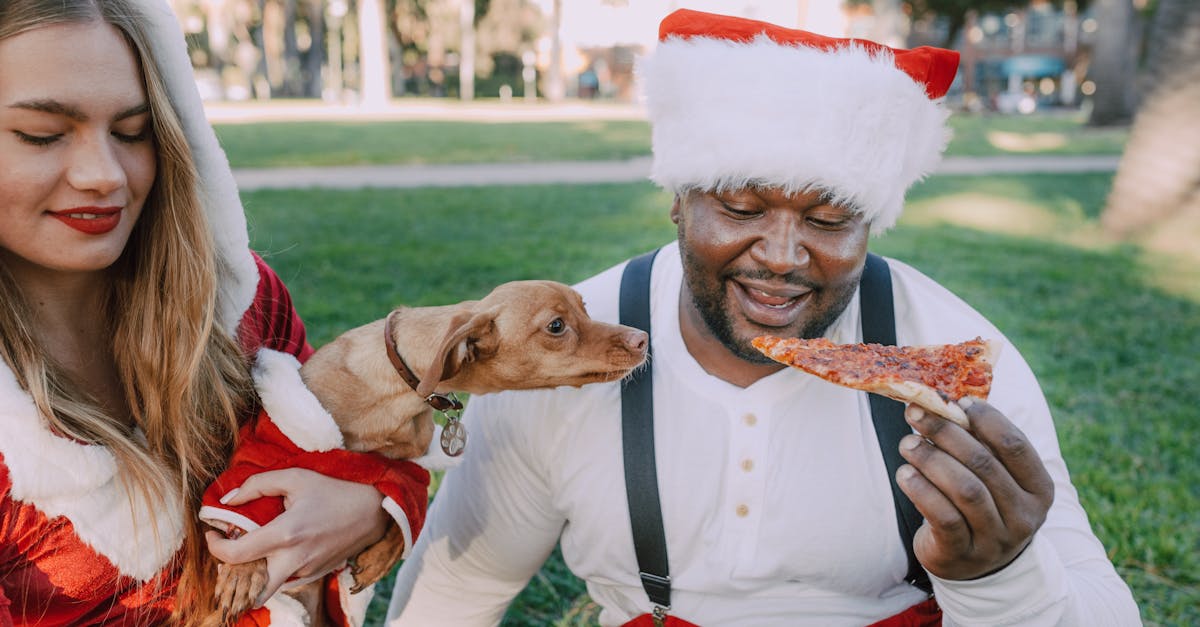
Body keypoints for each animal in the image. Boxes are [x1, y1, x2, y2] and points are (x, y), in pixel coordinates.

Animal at [204, 281, 648, 619]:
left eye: (585, 309)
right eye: (557, 326)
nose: (642, 338)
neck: (395, 399)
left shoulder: (408, 467)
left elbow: (399, 507)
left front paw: (382, 554)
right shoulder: (267, 449)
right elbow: (245, 511)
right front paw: (243, 570)